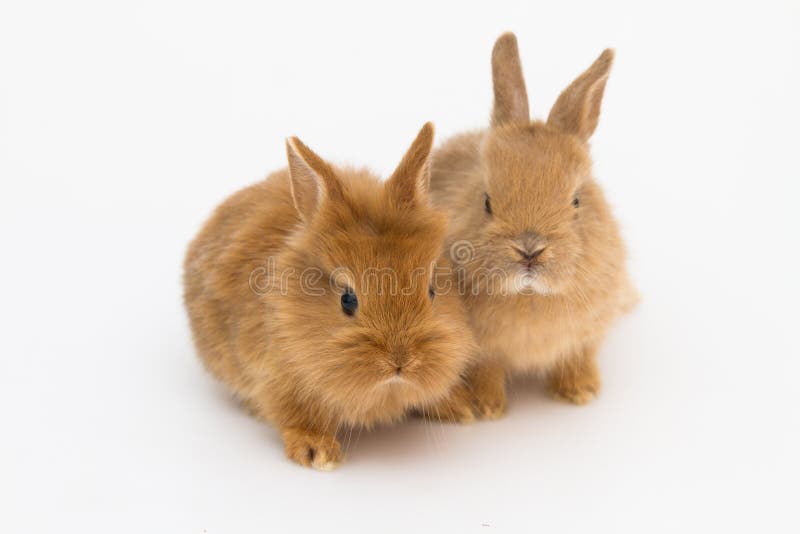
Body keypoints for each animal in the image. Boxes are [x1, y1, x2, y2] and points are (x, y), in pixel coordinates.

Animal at [184, 123, 476, 470]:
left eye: (431, 290)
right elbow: (295, 416)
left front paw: (461, 407)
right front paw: (316, 452)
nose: (401, 362)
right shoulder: (279, 380)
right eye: (347, 300)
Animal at [429, 33, 637, 419]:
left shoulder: (585, 337)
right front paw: (485, 407)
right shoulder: (483, 352)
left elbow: (577, 357)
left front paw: (580, 393)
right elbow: (487, 370)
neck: (530, 296)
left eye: (576, 200)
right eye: (486, 201)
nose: (529, 249)